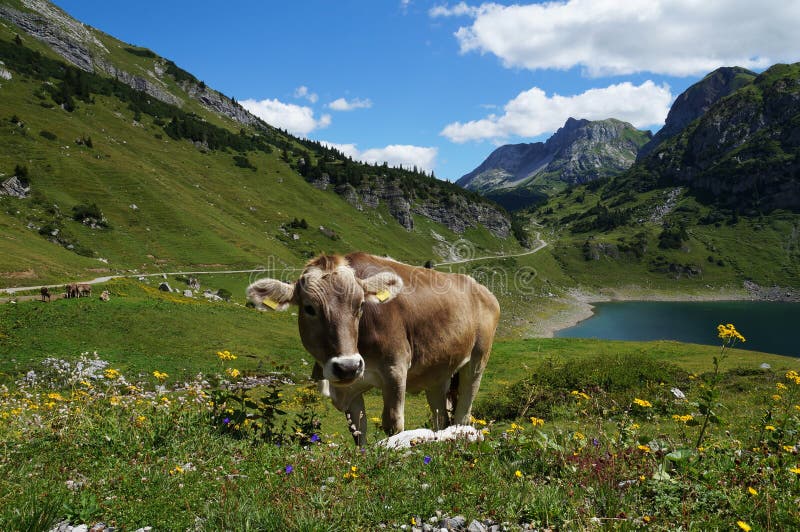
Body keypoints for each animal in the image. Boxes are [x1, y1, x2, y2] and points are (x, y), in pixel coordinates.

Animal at [246, 252, 500, 445]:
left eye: (360, 305)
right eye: (309, 308)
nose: (348, 366)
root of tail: (481, 288)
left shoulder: (395, 370)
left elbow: (393, 424)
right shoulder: (349, 388)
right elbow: (359, 431)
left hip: (477, 361)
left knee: (462, 414)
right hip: (438, 372)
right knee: (441, 417)